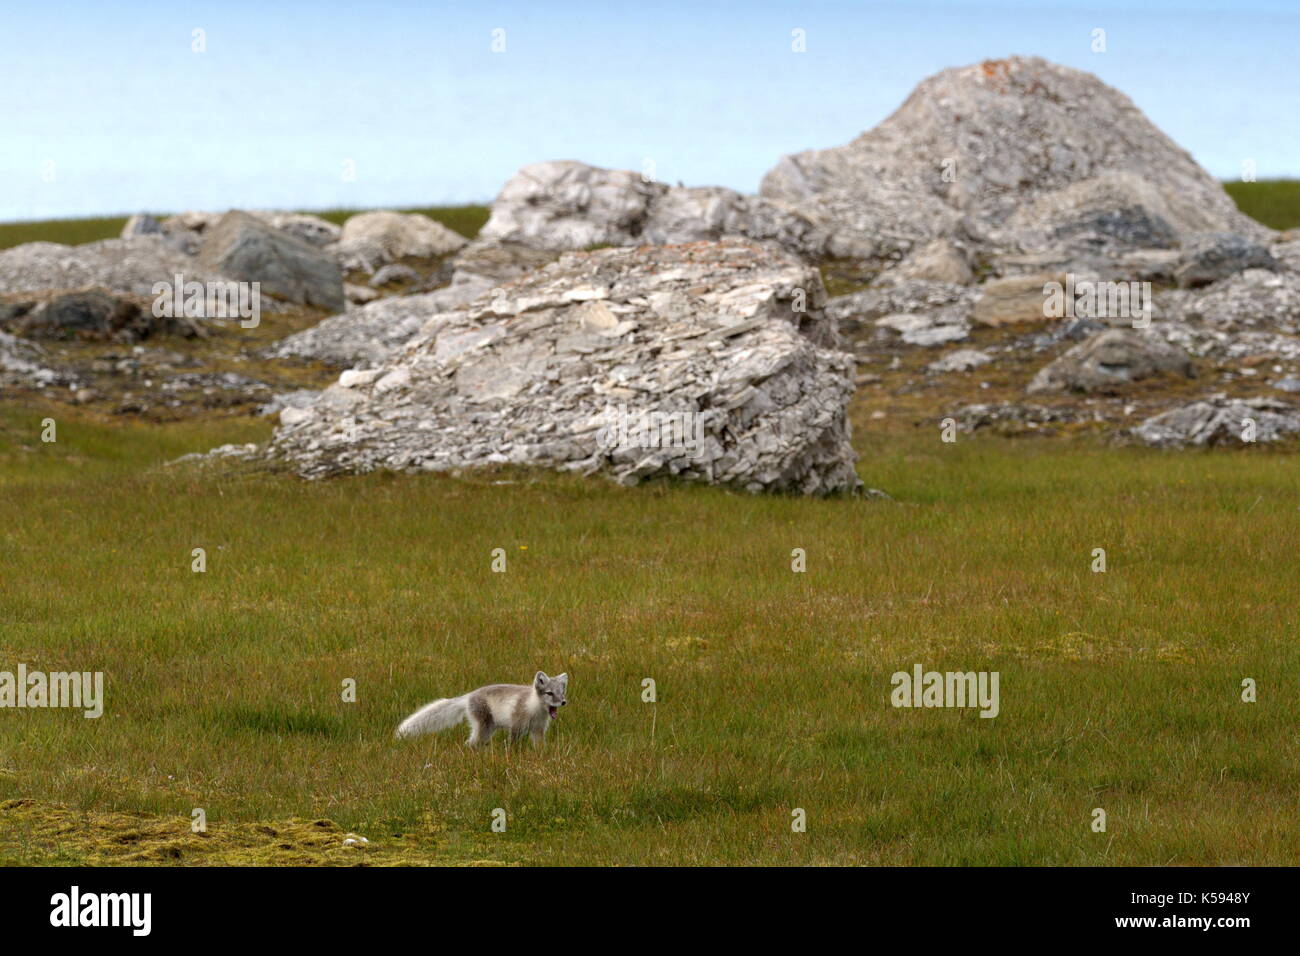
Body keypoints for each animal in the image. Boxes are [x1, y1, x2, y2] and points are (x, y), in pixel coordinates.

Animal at [395, 671, 568, 747]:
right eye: (549, 693)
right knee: (470, 742)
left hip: (489, 728)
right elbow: (512, 743)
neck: (535, 710)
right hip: (483, 726)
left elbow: (539, 746)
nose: (563, 702)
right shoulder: (516, 727)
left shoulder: (538, 730)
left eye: (561, 692)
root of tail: (469, 695)